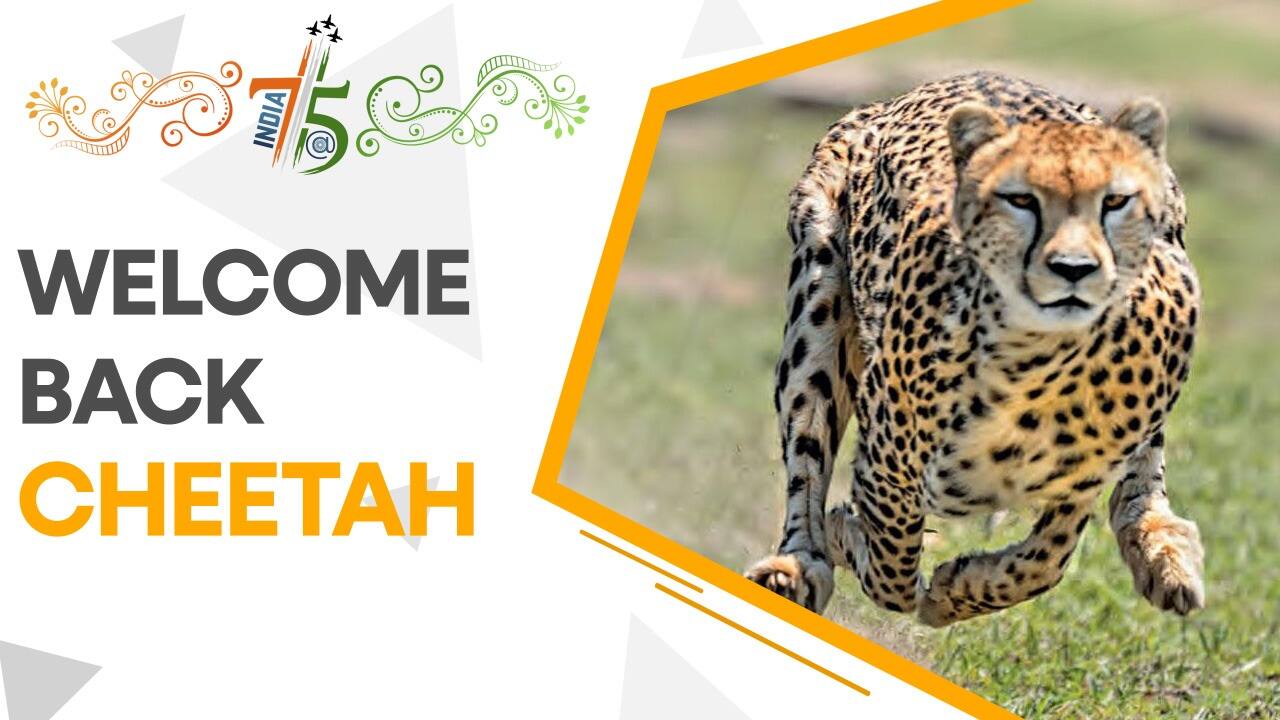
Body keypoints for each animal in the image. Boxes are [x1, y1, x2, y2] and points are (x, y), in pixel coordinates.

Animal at [745, 71, 1204, 627]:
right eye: (1021, 200)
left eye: (1114, 202)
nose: (1074, 268)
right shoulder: (888, 462)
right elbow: (891, 566)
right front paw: (849, 539)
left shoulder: (1082, 477)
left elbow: (1045, 560)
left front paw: (956, 589)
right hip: (818, 301)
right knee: (807, 456)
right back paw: (795, 567)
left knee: (1142, 477)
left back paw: (1164, 553)